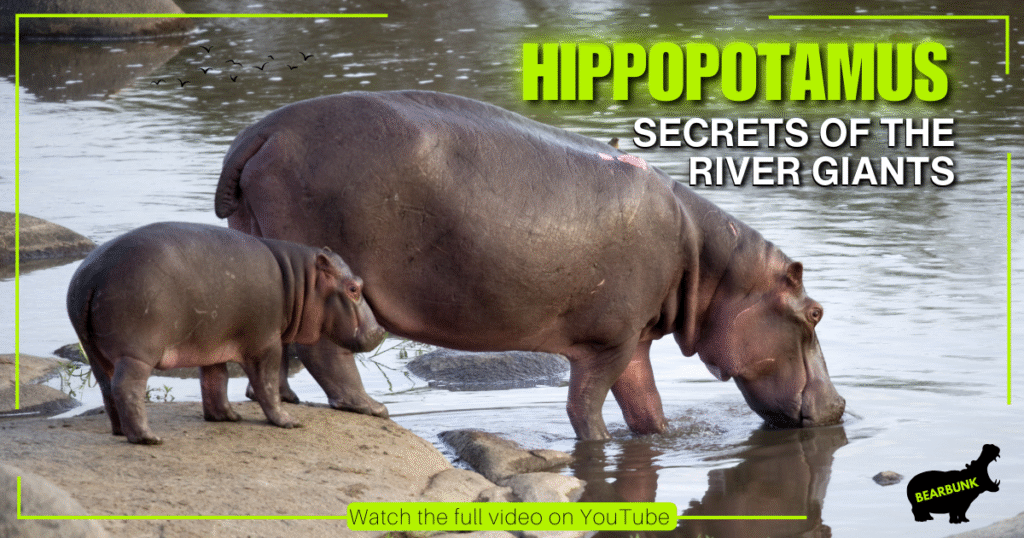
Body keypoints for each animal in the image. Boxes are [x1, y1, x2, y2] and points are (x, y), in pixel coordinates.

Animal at [66, 222, 384, 444]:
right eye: (354, 287)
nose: (380, 331)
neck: (299, 280)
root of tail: (91, 276)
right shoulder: (266, 344)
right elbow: (267, 385)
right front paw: (288, 422)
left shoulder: (212, 343)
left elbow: (215, 381)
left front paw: (228, 417)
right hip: (137, 354)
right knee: (127, 388)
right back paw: (148, 438)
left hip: (94, 351)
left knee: (107, 387)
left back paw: (120, 432)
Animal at [214, 90, 845, 440]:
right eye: (815, 313)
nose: (840, 406)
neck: (715, 269)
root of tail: (259, 132)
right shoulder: (608, 343)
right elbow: (584, 409)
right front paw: (598, 442)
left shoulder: (635, 339)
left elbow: (647, 408)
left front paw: (658, 439)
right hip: (326, 272)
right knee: (325, 351)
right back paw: (371, 408)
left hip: (266, 253)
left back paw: (287, 401)